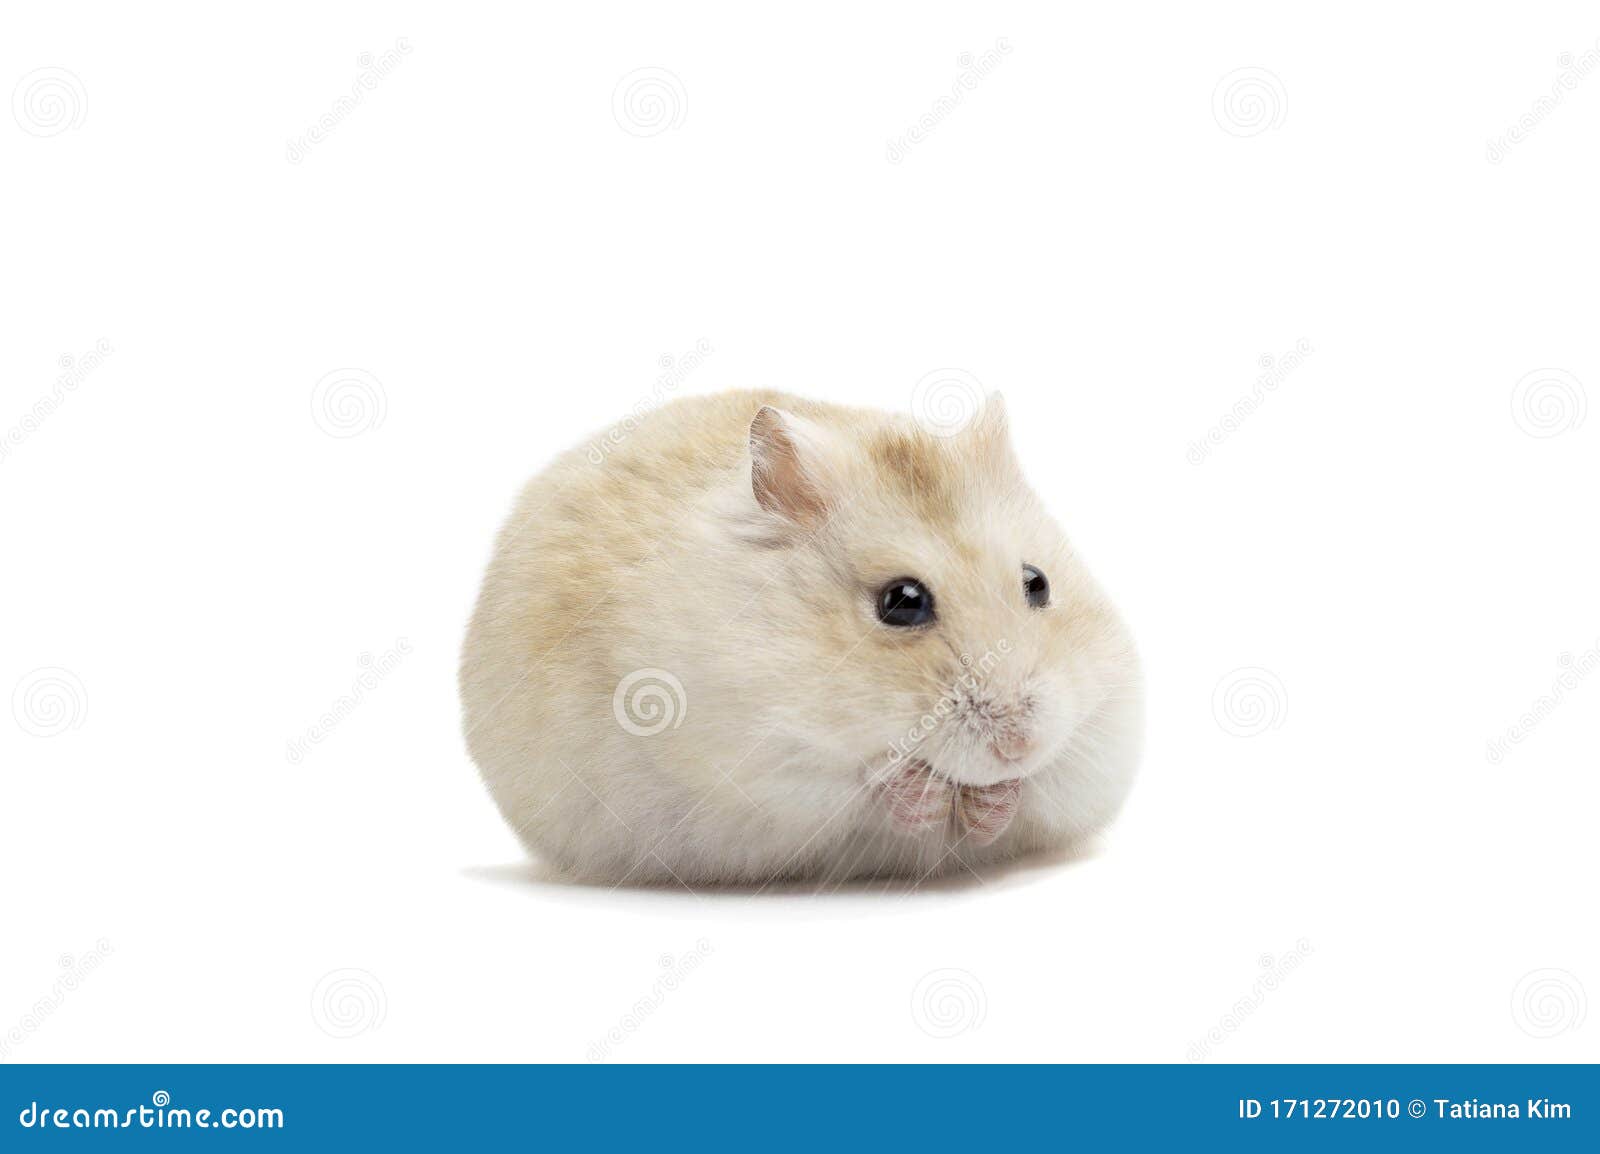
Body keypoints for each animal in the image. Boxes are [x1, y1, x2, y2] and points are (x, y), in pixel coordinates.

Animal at [459, 390, 1142, 885]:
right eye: (902, 602)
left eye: (1037, 582)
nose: (1020, 745)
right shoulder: (756, 758)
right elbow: (867, 782)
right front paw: (926, 792)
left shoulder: (1100, 742)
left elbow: (1041, 788)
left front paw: (993, 800)